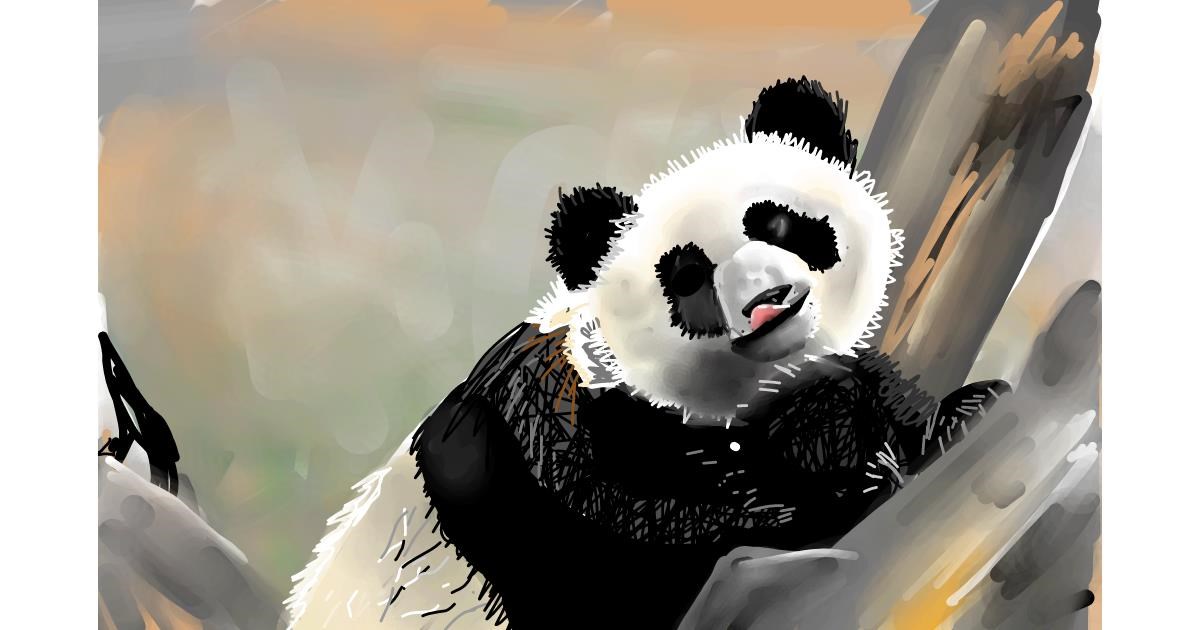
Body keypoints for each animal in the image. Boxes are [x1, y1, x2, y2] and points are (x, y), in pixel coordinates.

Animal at [285, 77, 1007, 630]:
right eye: (686, 277)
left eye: (776, 221)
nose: (768, 302)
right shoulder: (560, 438)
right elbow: (628, 536)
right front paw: (828, 496)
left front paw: (949, 417)